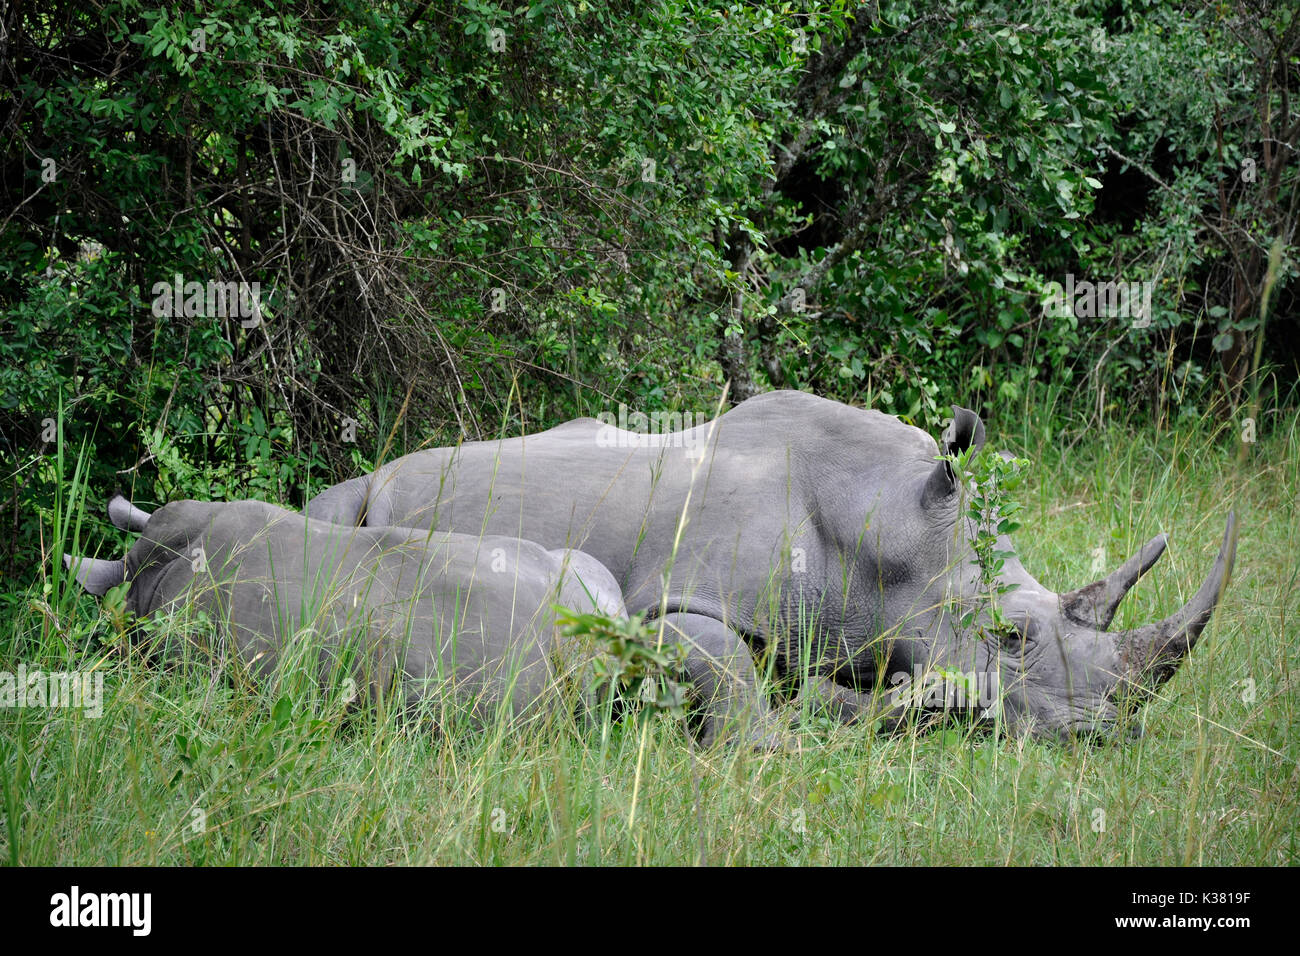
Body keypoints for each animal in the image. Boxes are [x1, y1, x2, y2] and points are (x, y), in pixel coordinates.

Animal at [306, 389, 1238, 742]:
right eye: (1010, 636)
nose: (1106, 733)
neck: (894, 528)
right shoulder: (677, 600)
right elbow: (729, 667)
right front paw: (776, 737)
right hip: (366, 494)